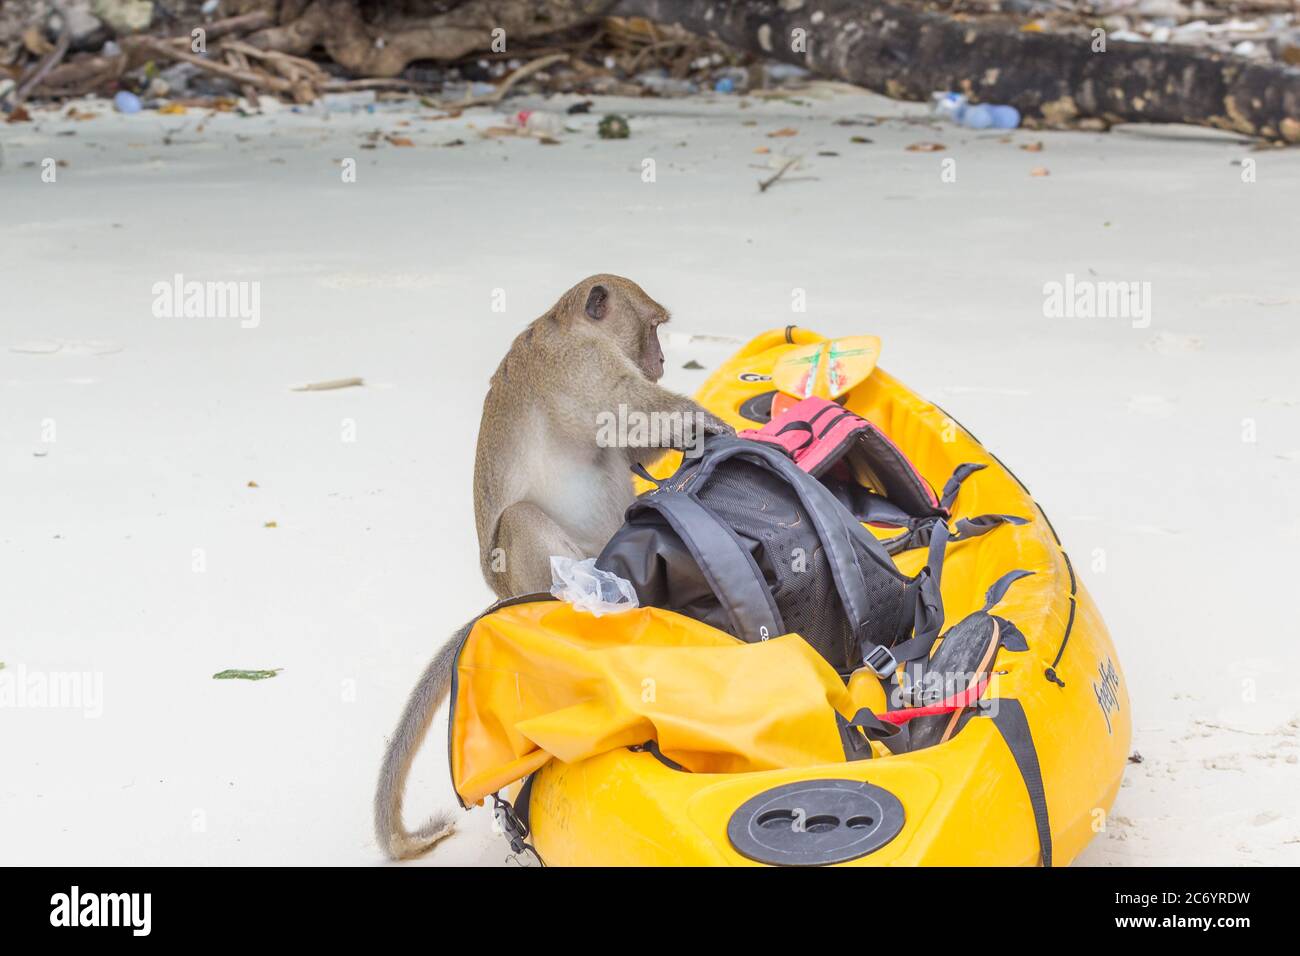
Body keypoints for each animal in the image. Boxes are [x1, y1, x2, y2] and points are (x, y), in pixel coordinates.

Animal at [375, 274, 733, 860]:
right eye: (654, 327)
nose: (659, 359)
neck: (567, 326)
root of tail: (502, 598)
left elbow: (630, 447)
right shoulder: (582, 365)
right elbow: (631, 411)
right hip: (532, 572)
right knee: (520, 518)